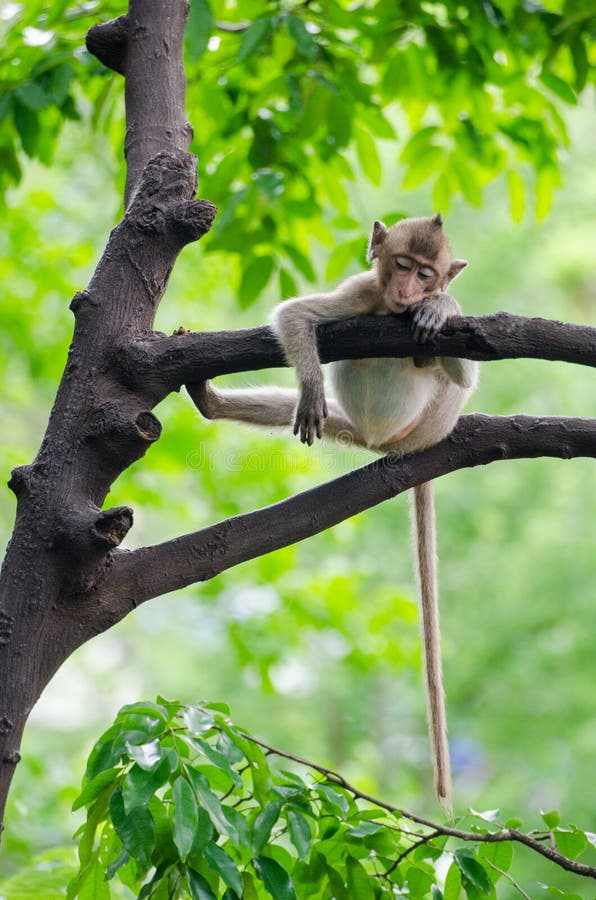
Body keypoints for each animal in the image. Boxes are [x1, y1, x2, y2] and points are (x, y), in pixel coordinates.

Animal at [187, 214, 478, 815]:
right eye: (401, 265)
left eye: (428, 273)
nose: (410, 291)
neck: (389, 310)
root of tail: (392, 444)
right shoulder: (359, 294)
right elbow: (294, 317)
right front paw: (310, 382)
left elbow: (466, 372)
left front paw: (442, 307)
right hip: (353, 429)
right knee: (311, 409)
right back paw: (216, 402)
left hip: (431, 423)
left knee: (452, 383)